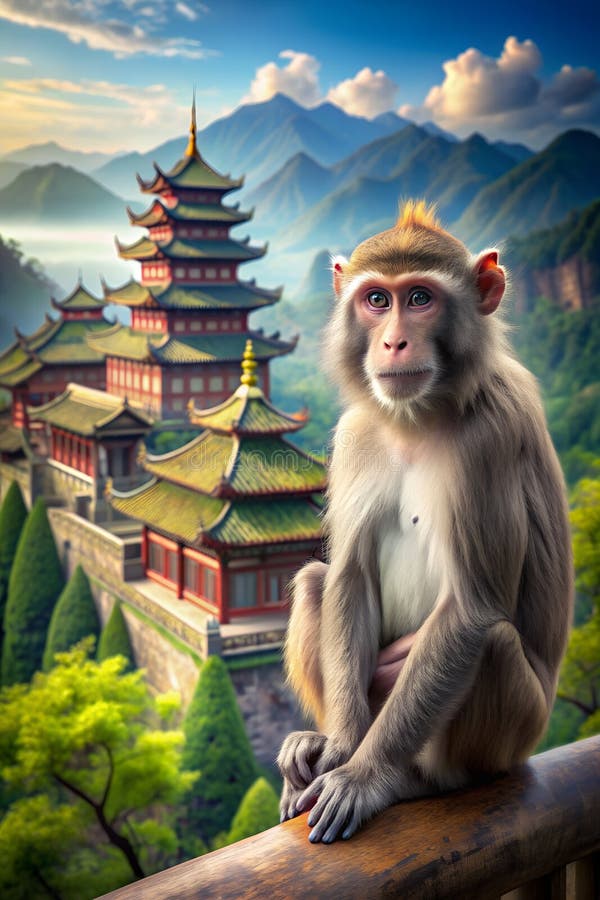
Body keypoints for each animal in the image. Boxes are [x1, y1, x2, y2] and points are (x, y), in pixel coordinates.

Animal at [277, 201, 573, 844]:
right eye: (376, 300)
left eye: (419, 298)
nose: (393, 342)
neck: (416, 418)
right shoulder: (356, 435)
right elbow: (348, 579)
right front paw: (340, 748)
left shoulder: (492, 435)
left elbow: (471, 610)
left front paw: (364, 776)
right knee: (315, 582)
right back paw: (317, 740)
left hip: (516, 729)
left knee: (491, 641)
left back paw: (414, 780)